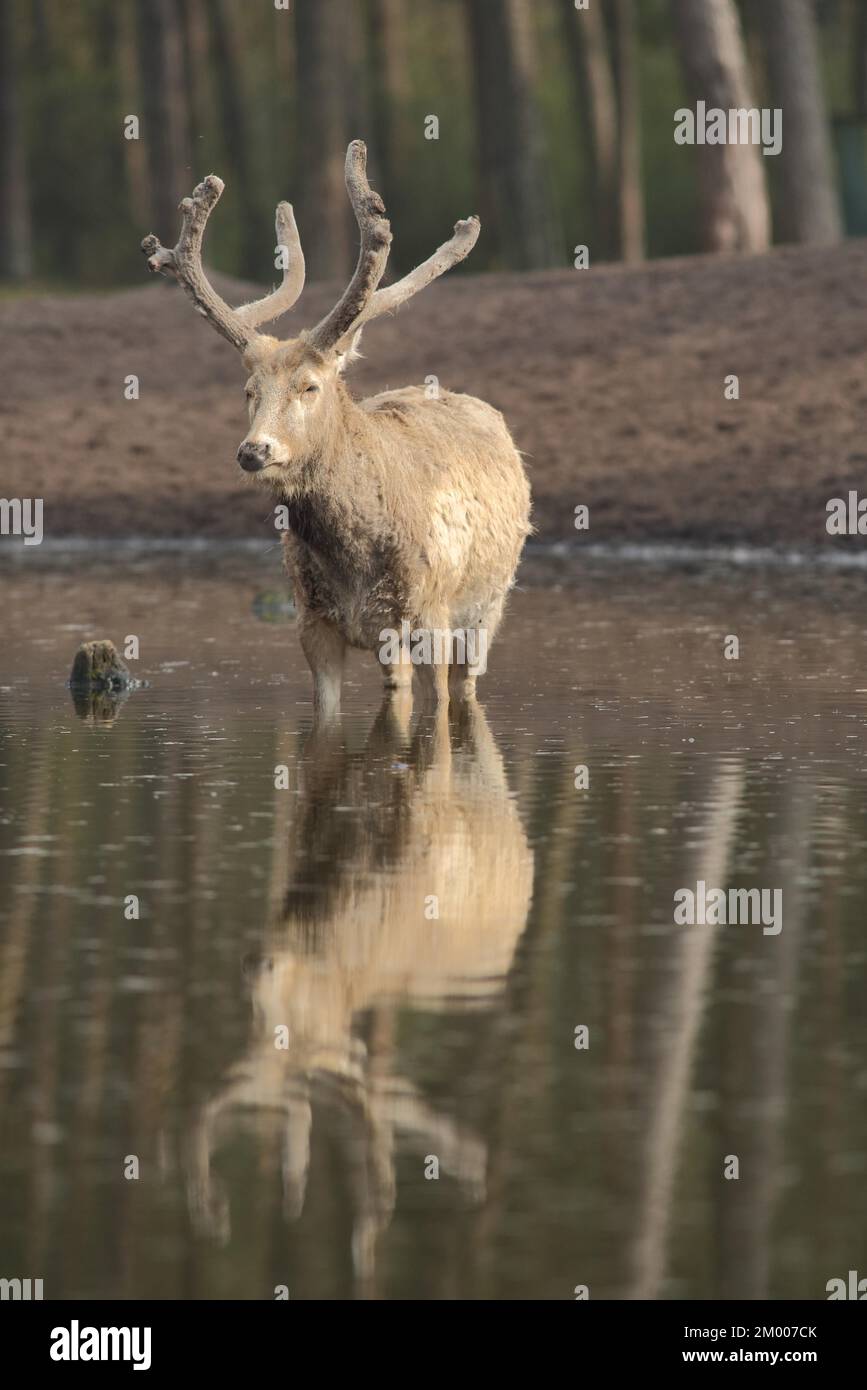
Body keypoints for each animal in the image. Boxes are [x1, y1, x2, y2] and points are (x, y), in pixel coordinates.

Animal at [142, 141, 531, 717]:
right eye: (249, 391)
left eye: (309, 387)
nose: (254, 451)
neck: (356, 561)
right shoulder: (313, 621)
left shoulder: (431, 612)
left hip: (489, 604)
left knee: (467, 684)